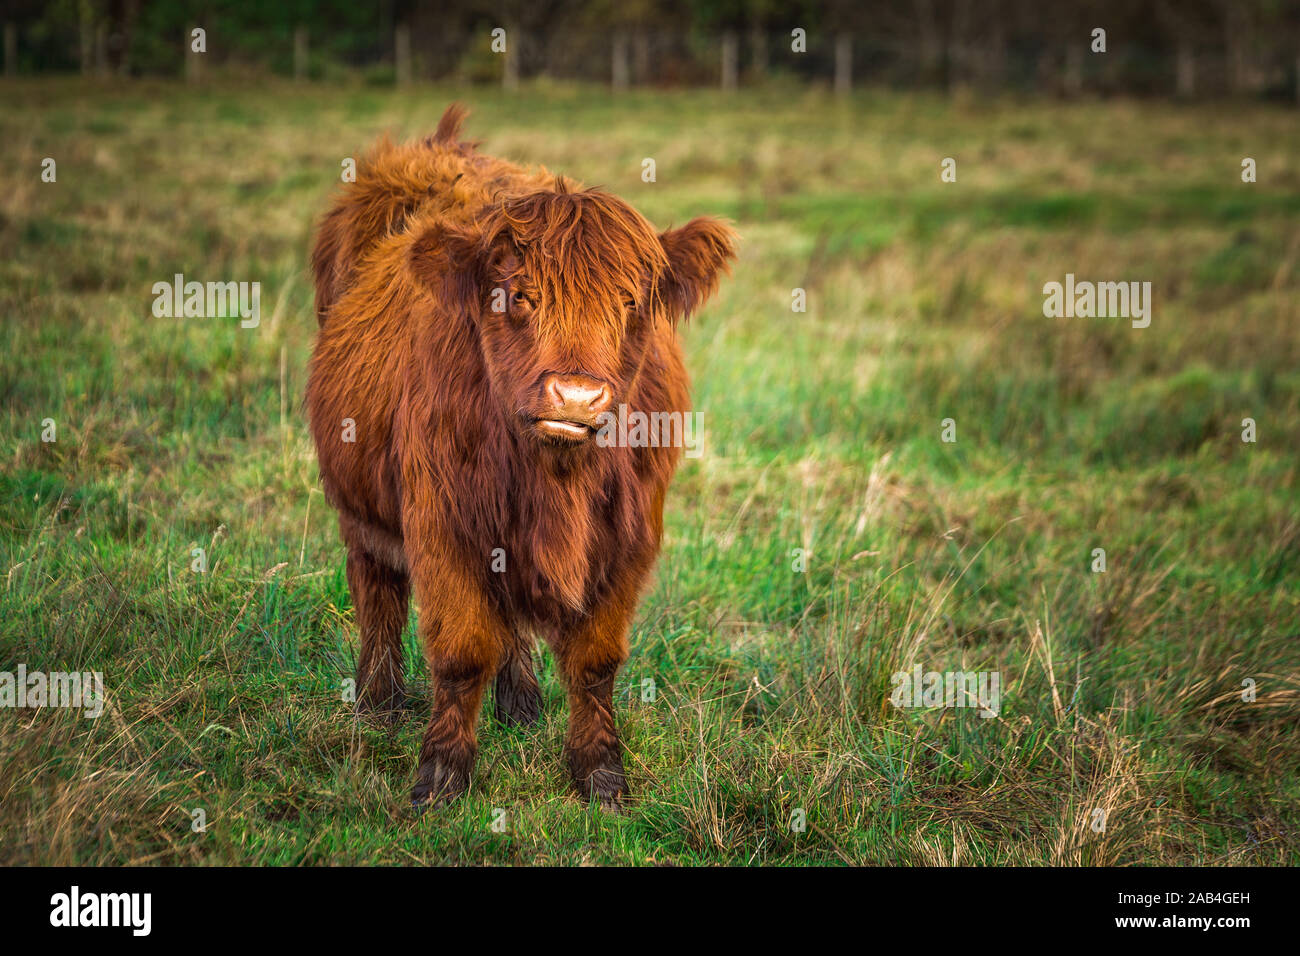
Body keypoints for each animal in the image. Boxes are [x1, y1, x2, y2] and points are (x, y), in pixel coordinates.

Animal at [306, 105, 736, 809]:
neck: (556, 477)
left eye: (630, 301)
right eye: (519, 296)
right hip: (359, 502)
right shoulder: (441, 524)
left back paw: (521, 702)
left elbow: (594, 661)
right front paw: (441, 777)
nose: (577, 395)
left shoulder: (630, 536)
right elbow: (460, 651)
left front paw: (601, 774)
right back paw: (376, 702)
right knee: (377, 587)